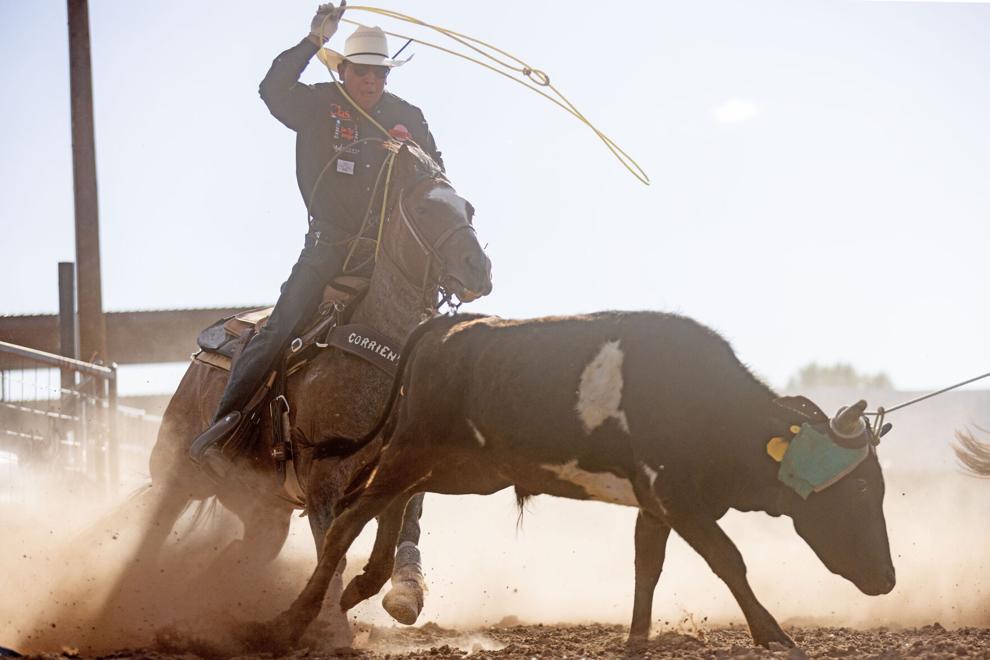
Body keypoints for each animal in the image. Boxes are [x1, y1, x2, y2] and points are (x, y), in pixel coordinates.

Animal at [256, 311, 896, 650]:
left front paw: (636, 640)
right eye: (863, 489)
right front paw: (773, 635)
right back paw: (296, 619)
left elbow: (647, 565)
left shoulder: (655, 506)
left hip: (462, 467)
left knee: (392, 502)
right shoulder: (677, 499)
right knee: (345, 519)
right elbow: (728, 559)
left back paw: (363, 585)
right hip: (416, 448)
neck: (714, 407)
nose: (887, 580)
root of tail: (448, 325)